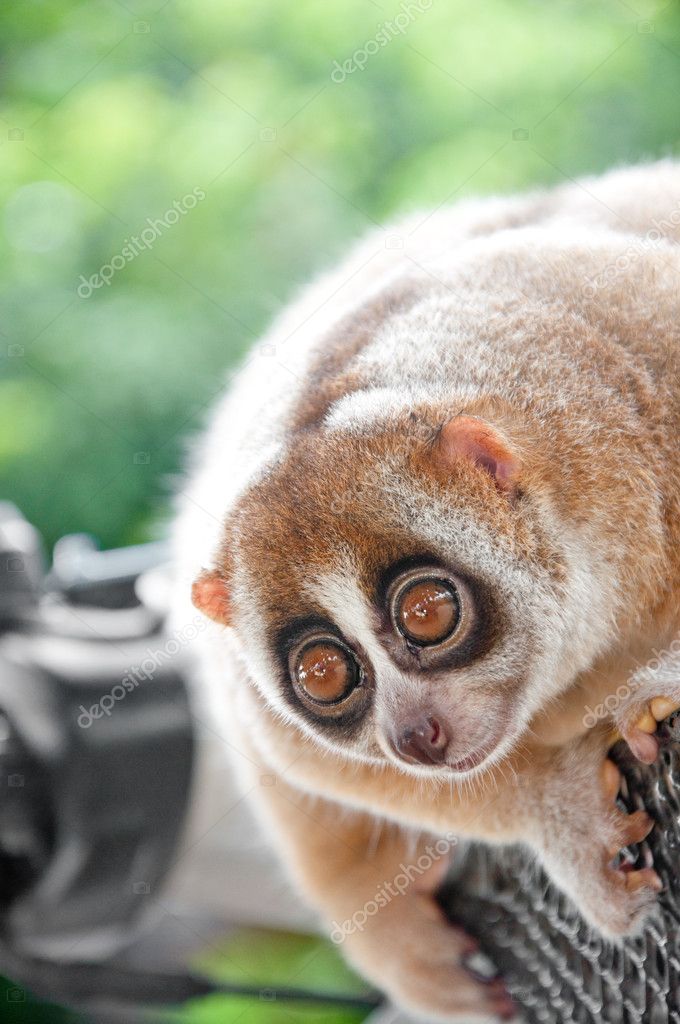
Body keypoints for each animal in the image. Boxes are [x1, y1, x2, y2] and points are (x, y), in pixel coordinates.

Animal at [173, 160, 680, 1022]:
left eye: (428, 612)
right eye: (323, 674)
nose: (416, 734)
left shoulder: (639, 389)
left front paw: (650, 690)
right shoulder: (263, 711)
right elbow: (323, 766)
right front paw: (559, 810)